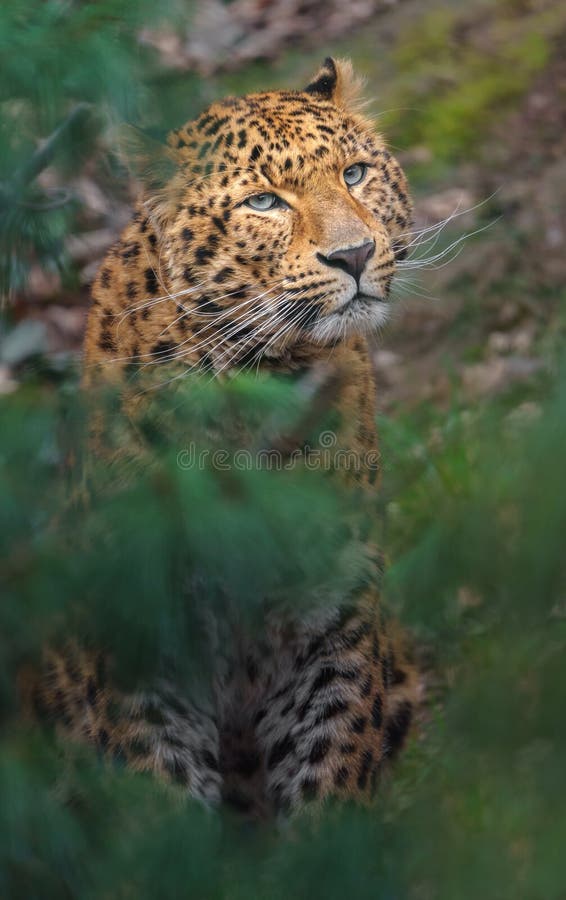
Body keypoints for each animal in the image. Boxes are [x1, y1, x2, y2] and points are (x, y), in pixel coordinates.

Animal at [29, 58, 420, 818]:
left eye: (355, 173)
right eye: (264, 202)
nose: (356, 254)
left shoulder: (332, 632)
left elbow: (328, 781)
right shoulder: (144, 657)